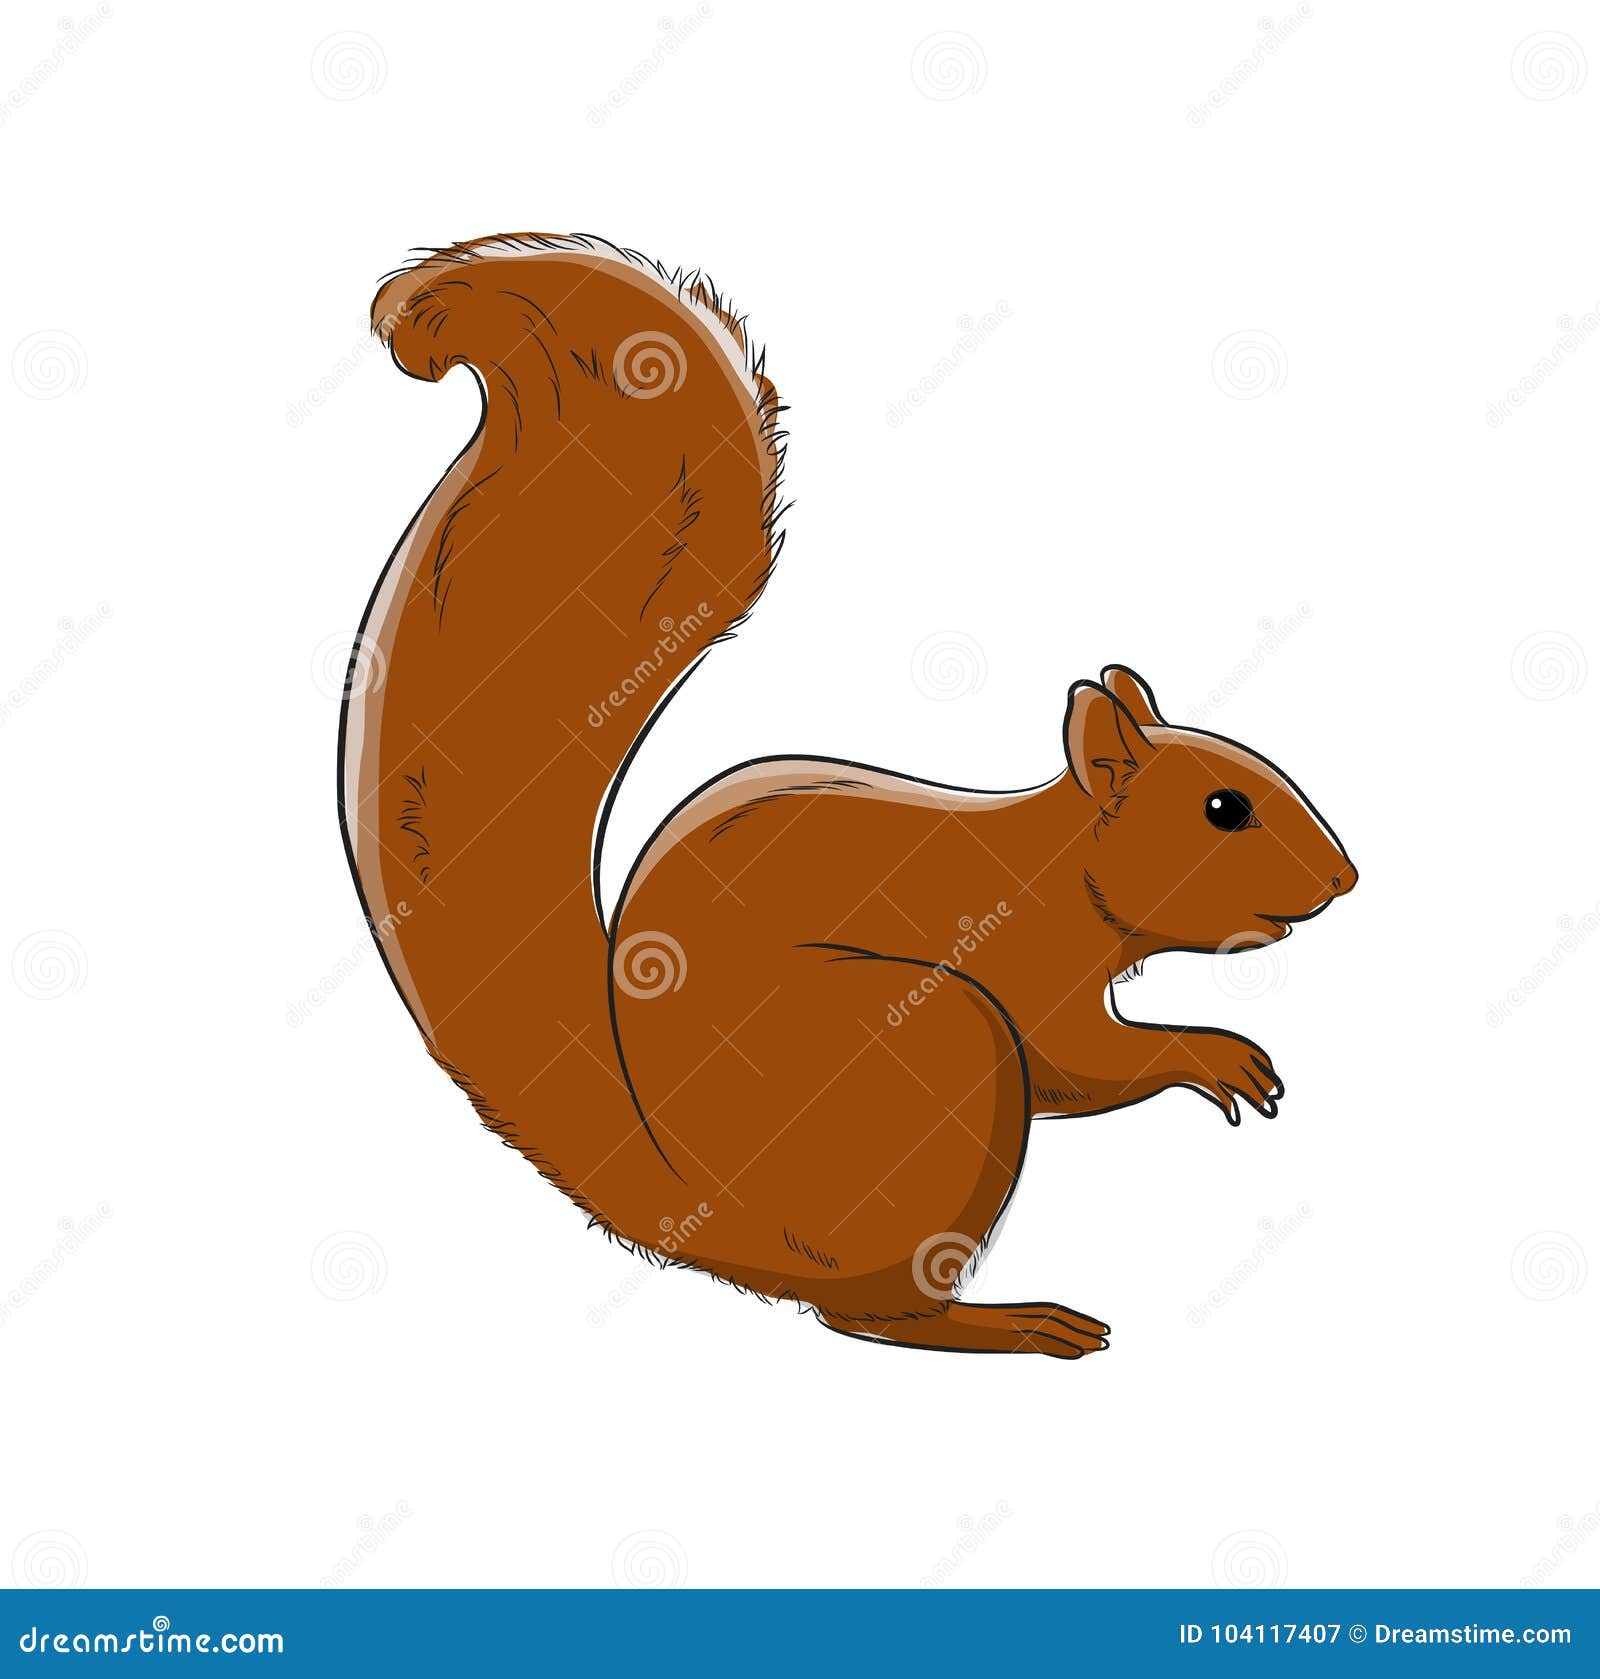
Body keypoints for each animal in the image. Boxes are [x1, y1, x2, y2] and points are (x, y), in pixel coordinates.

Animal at [340, 233, 1357, 1360]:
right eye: (1225, 810)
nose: (1344, 879)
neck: (1054, 860)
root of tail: (706, 1216)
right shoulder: (1028, 963)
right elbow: (1081, 1063)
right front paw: (1214, 1055)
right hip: (939, 1046)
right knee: (866, 1313)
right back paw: (1011, 1323)